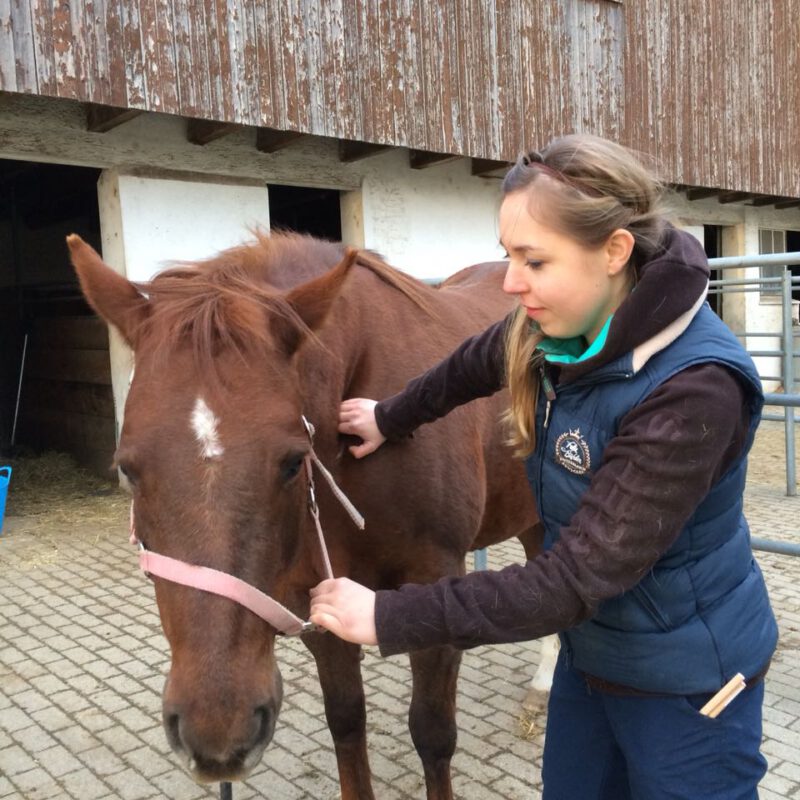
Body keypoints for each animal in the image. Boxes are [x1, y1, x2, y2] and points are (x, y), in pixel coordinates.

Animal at [67, 230, 543, 800]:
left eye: (294, 461)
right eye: (128, 468)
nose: (219, 734)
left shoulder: (436, 584)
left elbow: (432, 735)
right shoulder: (320, 597)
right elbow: (346, 722)